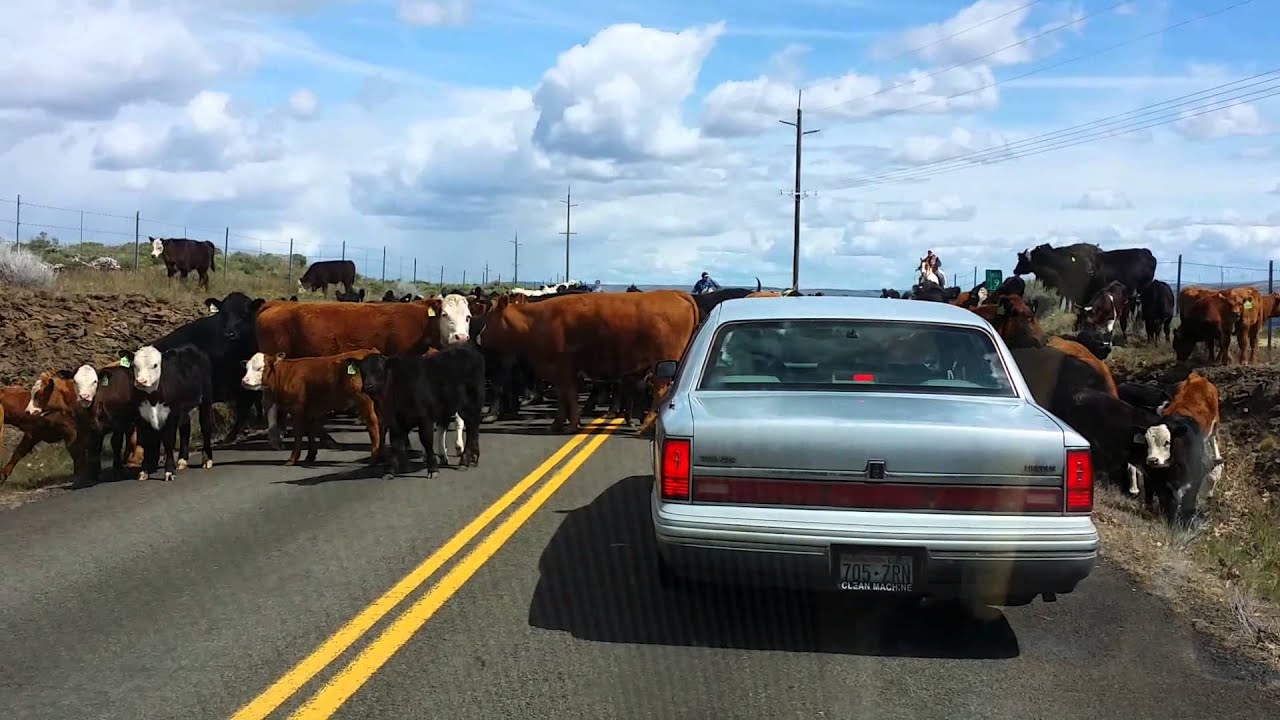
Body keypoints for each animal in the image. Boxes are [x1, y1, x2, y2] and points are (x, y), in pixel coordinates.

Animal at [127, 344, 216, 482]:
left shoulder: (171, 415)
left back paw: (207, 460)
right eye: (135, 365)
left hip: (206, 398)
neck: (153, 399)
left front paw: (169, 471)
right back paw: (182, 460)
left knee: (205, 426)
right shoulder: (142, 419)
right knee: (185, 429)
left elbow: (168, 442)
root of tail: (191, 347)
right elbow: (146, 444)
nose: (141, 381)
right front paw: (143, 472)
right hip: (184, 409)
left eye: (155, 365)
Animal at [241, 350, 381, 466]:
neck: (285, 375)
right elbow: (310, 432)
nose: (244, 381)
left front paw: (292, 459)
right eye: (246, 368)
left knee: (373, 425)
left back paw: (374, 457)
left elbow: (299, 434)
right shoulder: (309, 410)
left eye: (259, 368)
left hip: (365, 401)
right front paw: (310, 455)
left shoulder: (297, 409)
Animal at [354, 343, 485, 478]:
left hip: (471, 405)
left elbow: (426, 441)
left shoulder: (425, 418)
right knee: (472, 428)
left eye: (379, 371)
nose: (367, 386)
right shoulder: (394, 421)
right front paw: (389, 471)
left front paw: (432, 468)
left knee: (472, 429)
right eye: (362, 371)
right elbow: (395, 444)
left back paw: (464, 461)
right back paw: (473, 457)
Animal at [477, 290, 700, 433]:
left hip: (663, 364)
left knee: (660, 392)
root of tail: (674, 292)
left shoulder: (563, 369)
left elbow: (569, 396)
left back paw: (645, 425)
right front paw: (558, 424)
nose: (478, 338)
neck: (538, 322)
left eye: (490, 319)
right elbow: (564, 398)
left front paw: (571, 425)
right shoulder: (560, 372)